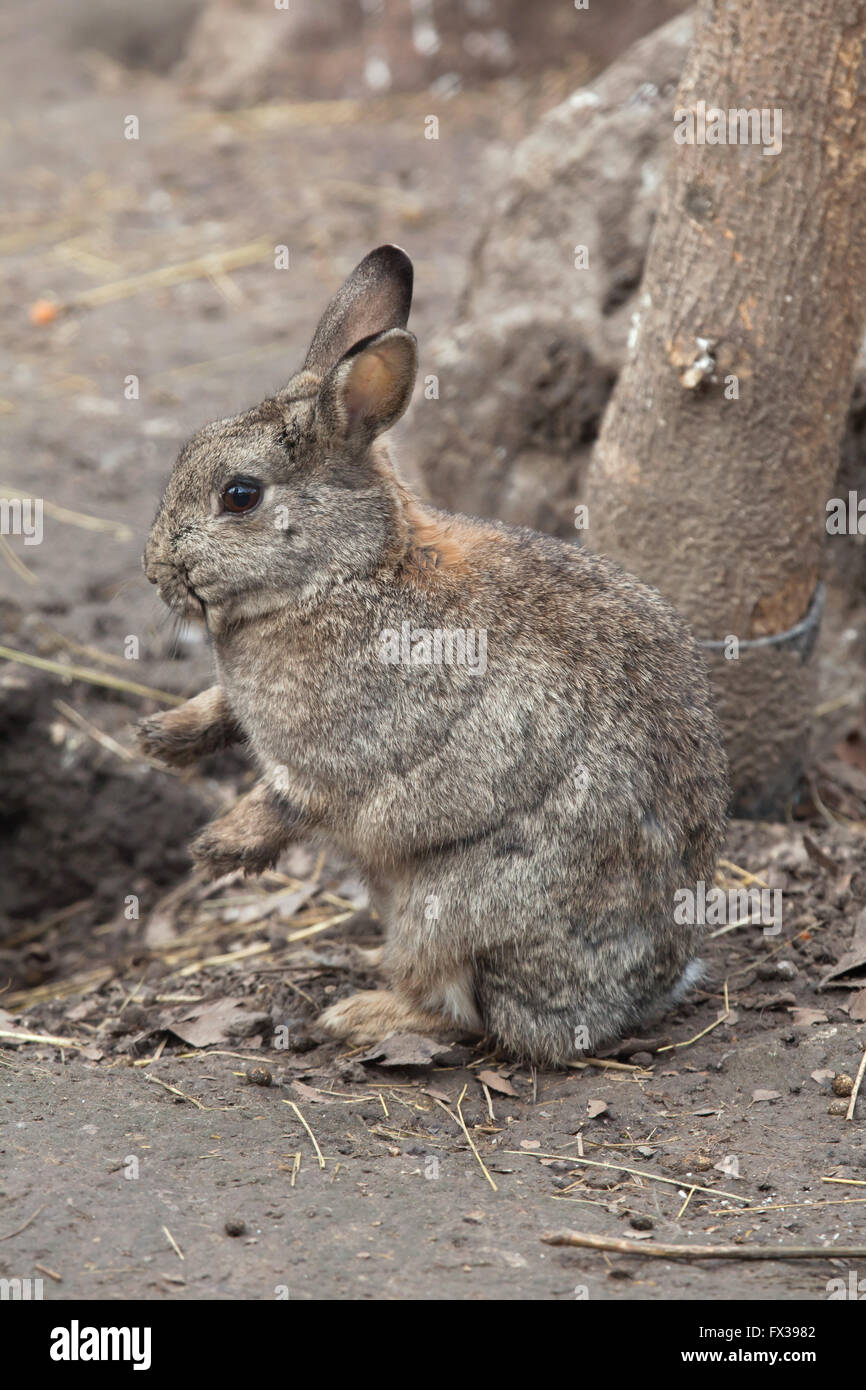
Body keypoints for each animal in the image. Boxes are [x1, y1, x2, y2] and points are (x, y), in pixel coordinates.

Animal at [139, 244, 729, 1066]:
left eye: (241, 495)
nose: (155, 570)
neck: (347, 572)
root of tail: (637, 999)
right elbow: (219, 709)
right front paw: (161, 739)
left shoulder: (337, 753)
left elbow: (287, 797)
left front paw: (218, 848)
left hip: (450, 906)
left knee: (464, 1013)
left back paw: (357, 1015)